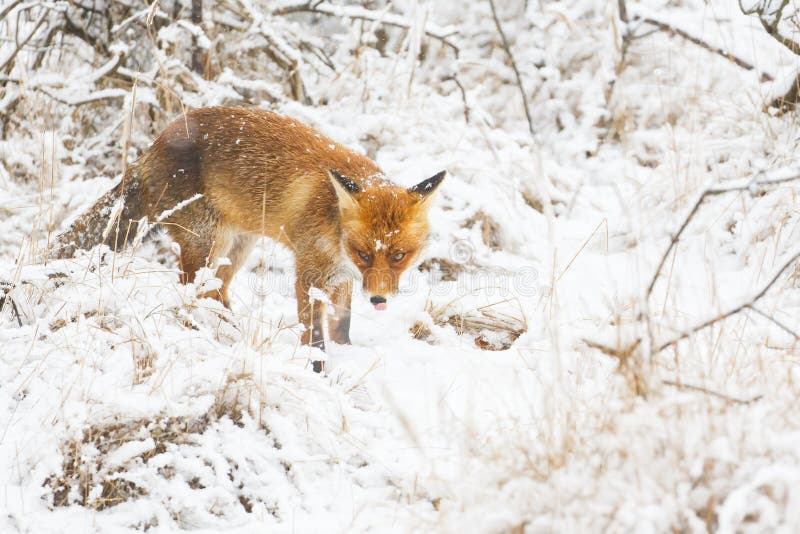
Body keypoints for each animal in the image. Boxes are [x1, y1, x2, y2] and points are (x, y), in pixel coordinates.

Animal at [53, 107, 445, 372]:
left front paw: (347, 352)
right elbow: (314, 336)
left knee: (217, 291)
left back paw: (234, 331)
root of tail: (154, 144)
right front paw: (317, 371)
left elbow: (341, 326)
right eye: (363, 253)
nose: (378, 298)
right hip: (207, 243)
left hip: (238, 247)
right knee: (190, 291)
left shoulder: (342, 278)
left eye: (399, 255)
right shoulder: (310, 274)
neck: (334, 225)